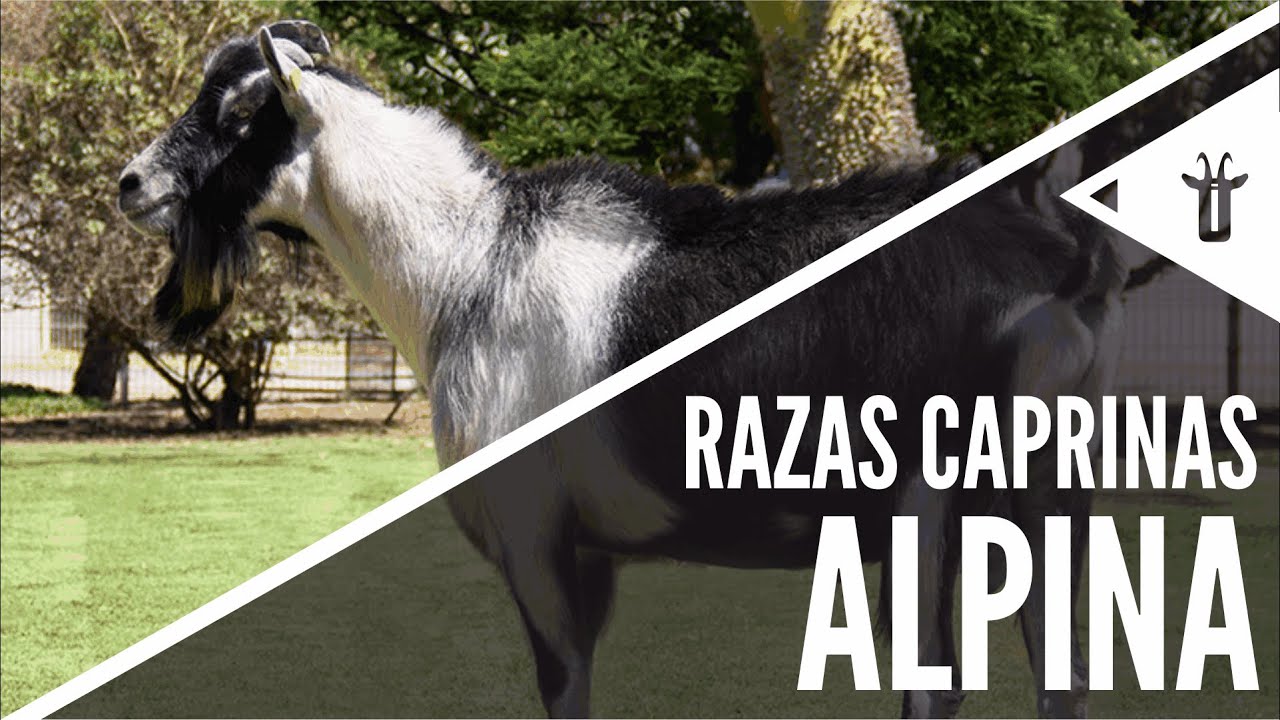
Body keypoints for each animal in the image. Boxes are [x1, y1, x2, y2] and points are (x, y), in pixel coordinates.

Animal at [117, 22, 1124, 719]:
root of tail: (1059, 257)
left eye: (240, 114)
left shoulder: (532, 530)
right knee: (1063, 672)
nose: (131, 184)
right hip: (1050, 495)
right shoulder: (589, 548)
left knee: (940, 686)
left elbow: (562, 684)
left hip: (936, 492)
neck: (469, 266)